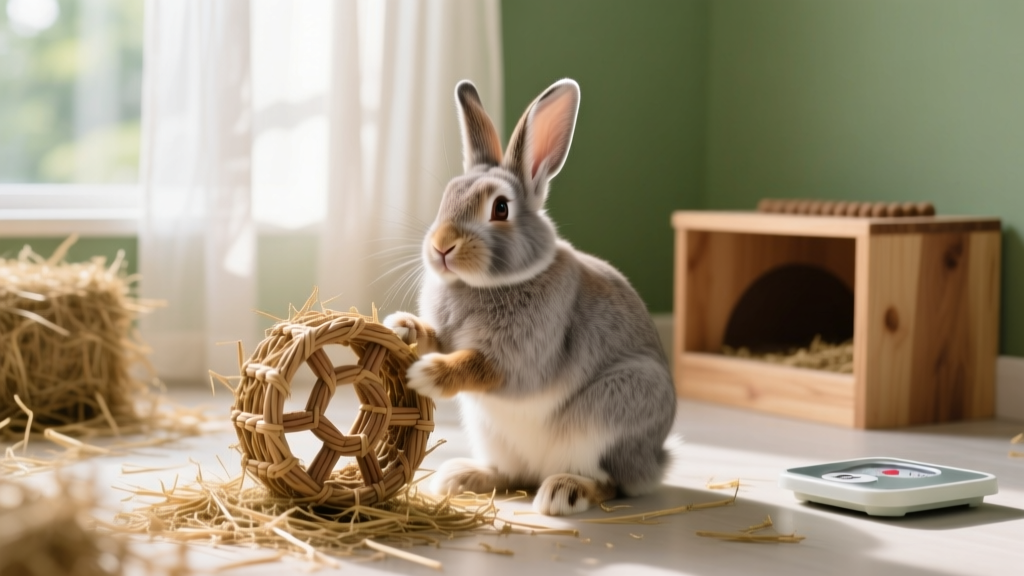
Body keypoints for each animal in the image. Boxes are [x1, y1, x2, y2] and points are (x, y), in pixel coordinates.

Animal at [384, 78, 677, 516]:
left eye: (501, 208)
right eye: (446, 198)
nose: (441, 246)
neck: (481, 286)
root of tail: (656, 462)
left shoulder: (521, 358)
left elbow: (480, 365)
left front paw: (428, 374)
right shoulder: (450, 335)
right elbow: (435, 337)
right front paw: (402, 327)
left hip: (612, 414)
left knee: (610, 483)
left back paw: (563, 492)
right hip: (491, 434)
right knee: (511, 475)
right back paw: (460, 477)